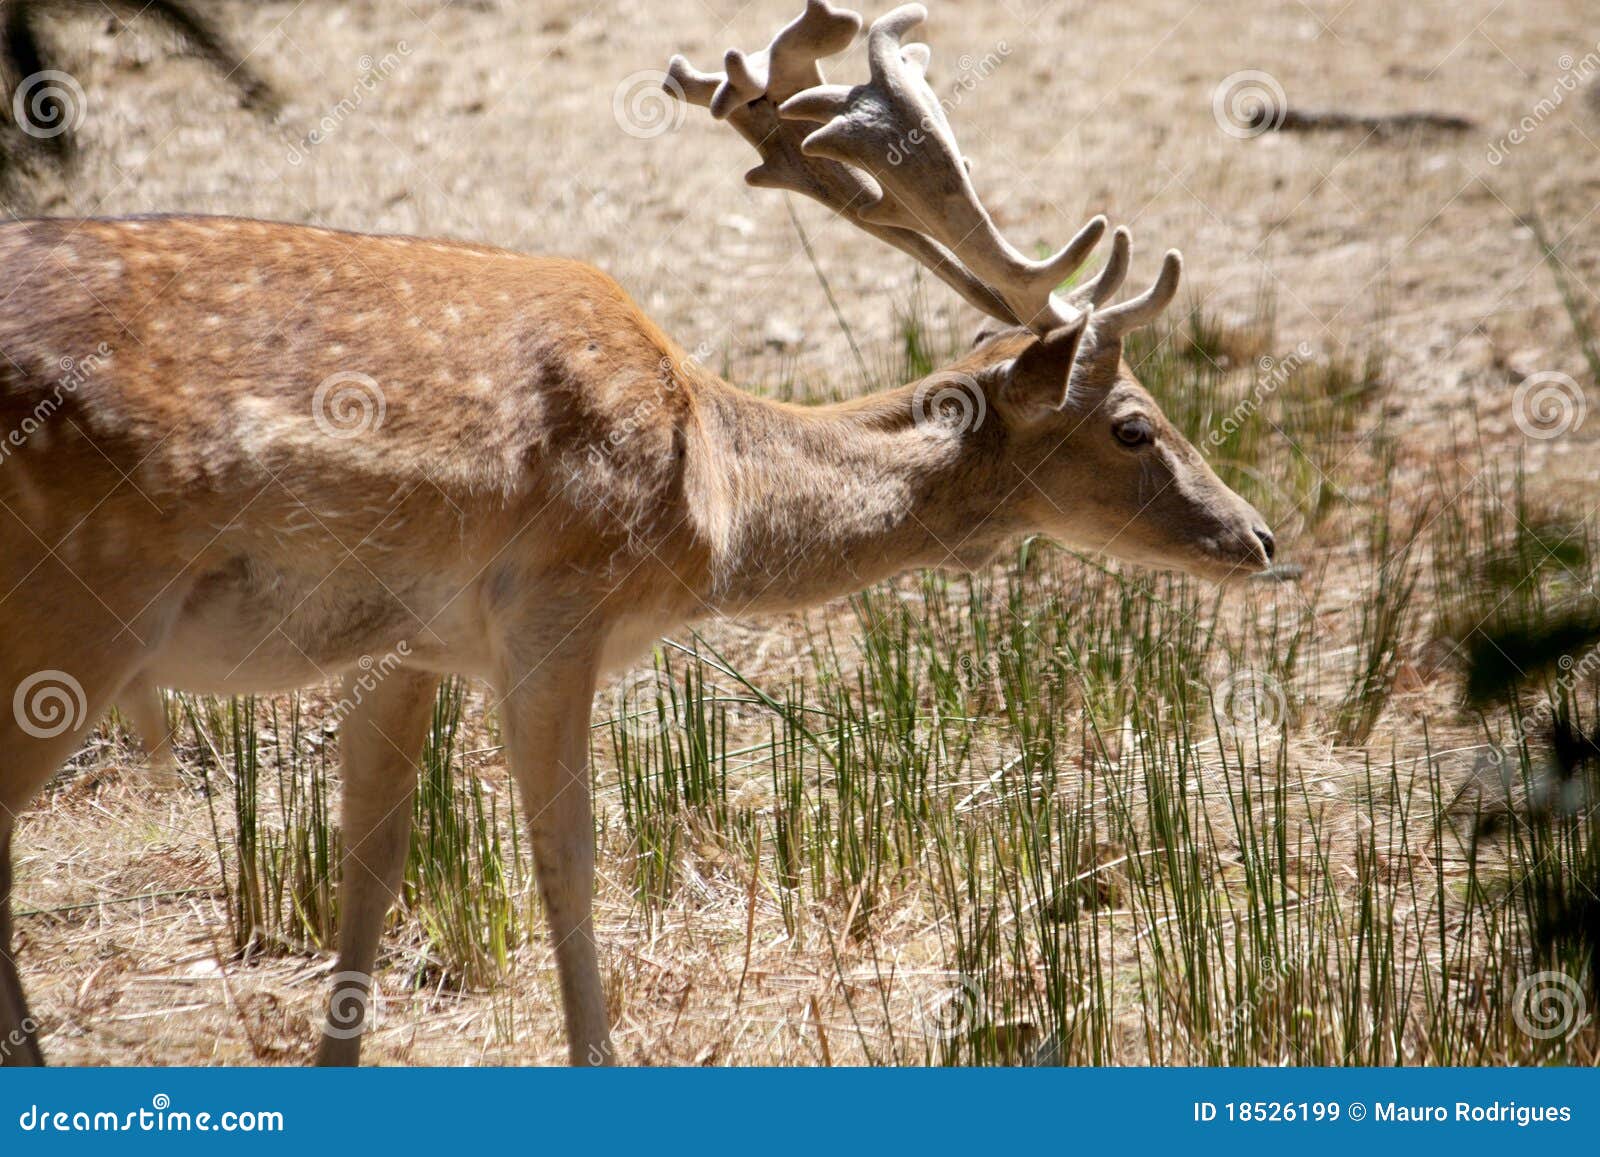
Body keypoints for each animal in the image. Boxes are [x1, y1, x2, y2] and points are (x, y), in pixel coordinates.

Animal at [0, 1, 1273, 1067]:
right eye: (1132, 424)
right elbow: (568, 856)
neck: (709, 488)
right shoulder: (555, 605)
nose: (1258, 536)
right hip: (72, 609)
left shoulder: (405, 642)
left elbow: (372, 858)